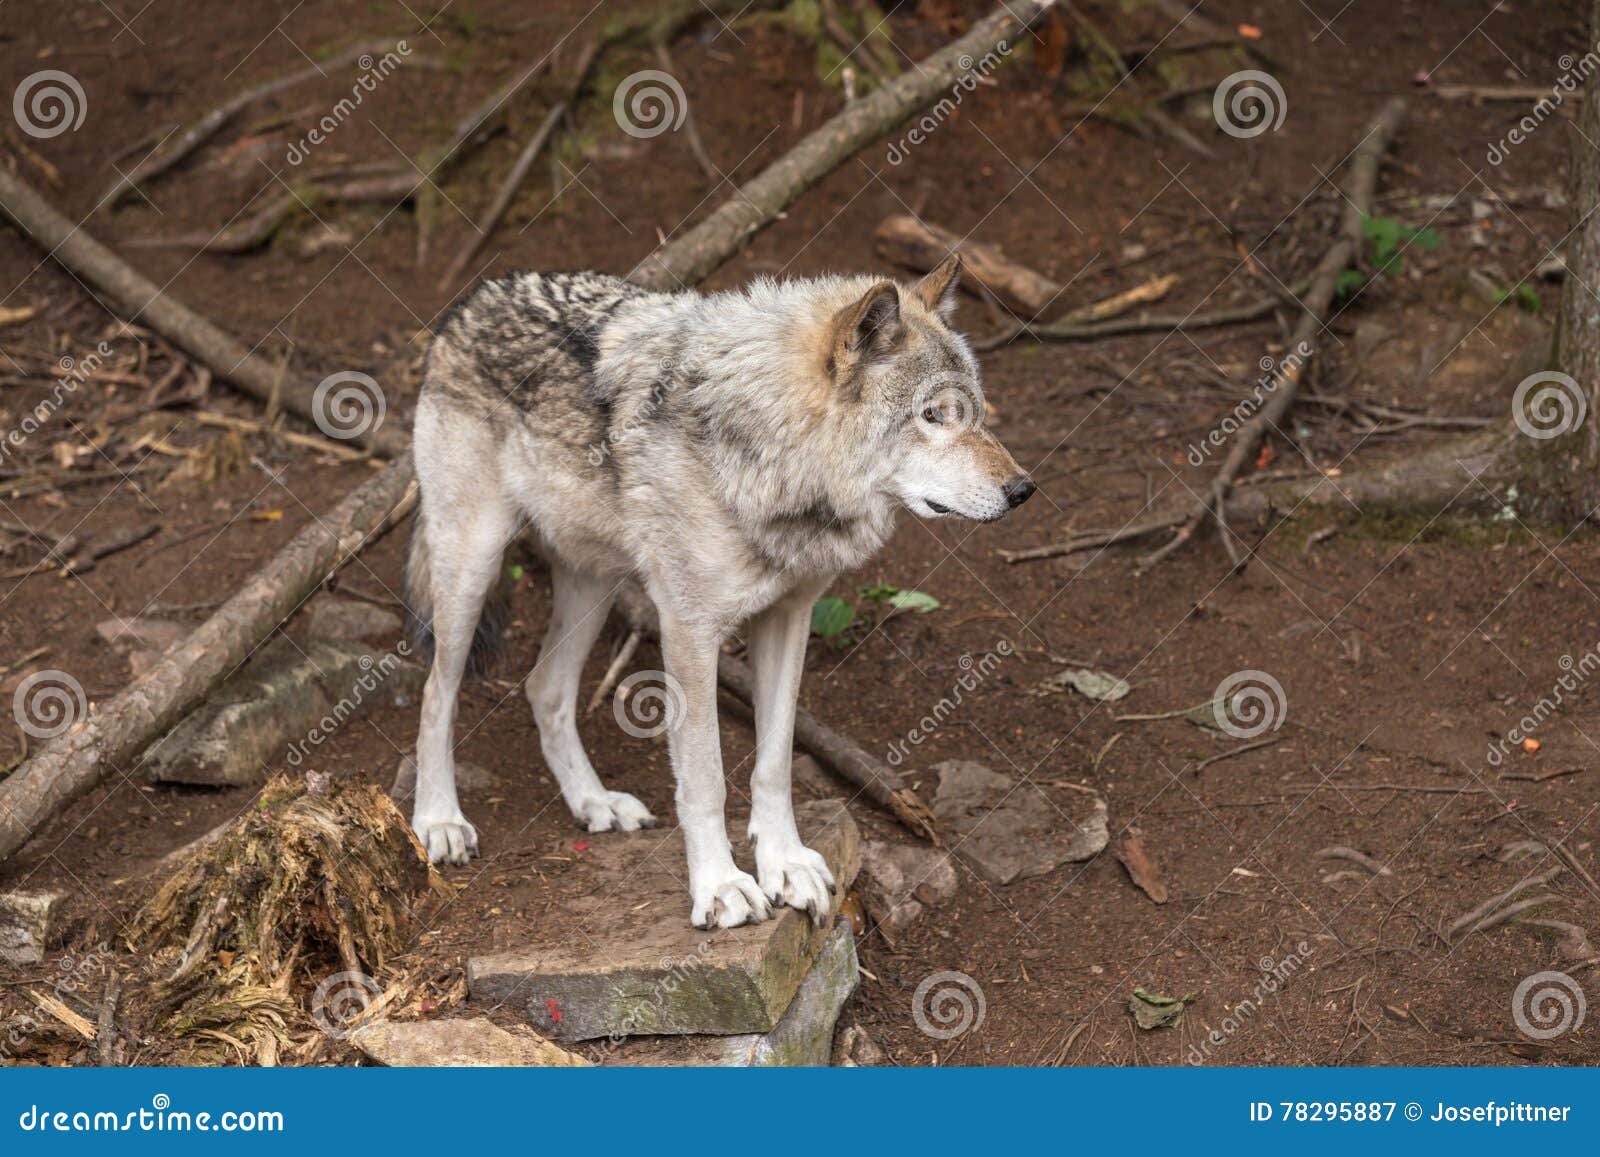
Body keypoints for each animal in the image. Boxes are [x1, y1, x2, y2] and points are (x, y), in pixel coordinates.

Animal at [404, 254, 1034, 929]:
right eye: (933, 415)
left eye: (977, 411)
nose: (1024, 489)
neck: (772, 459)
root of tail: (476, 298)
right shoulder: (688, 631)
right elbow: (705, 778)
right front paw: (722, 887)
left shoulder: (790, 616)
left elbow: (774, 762)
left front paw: (784, 864)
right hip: (473, 566)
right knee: (435, 694)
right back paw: (438, 821)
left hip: (593, 584)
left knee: (544, 688)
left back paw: (594, 802)